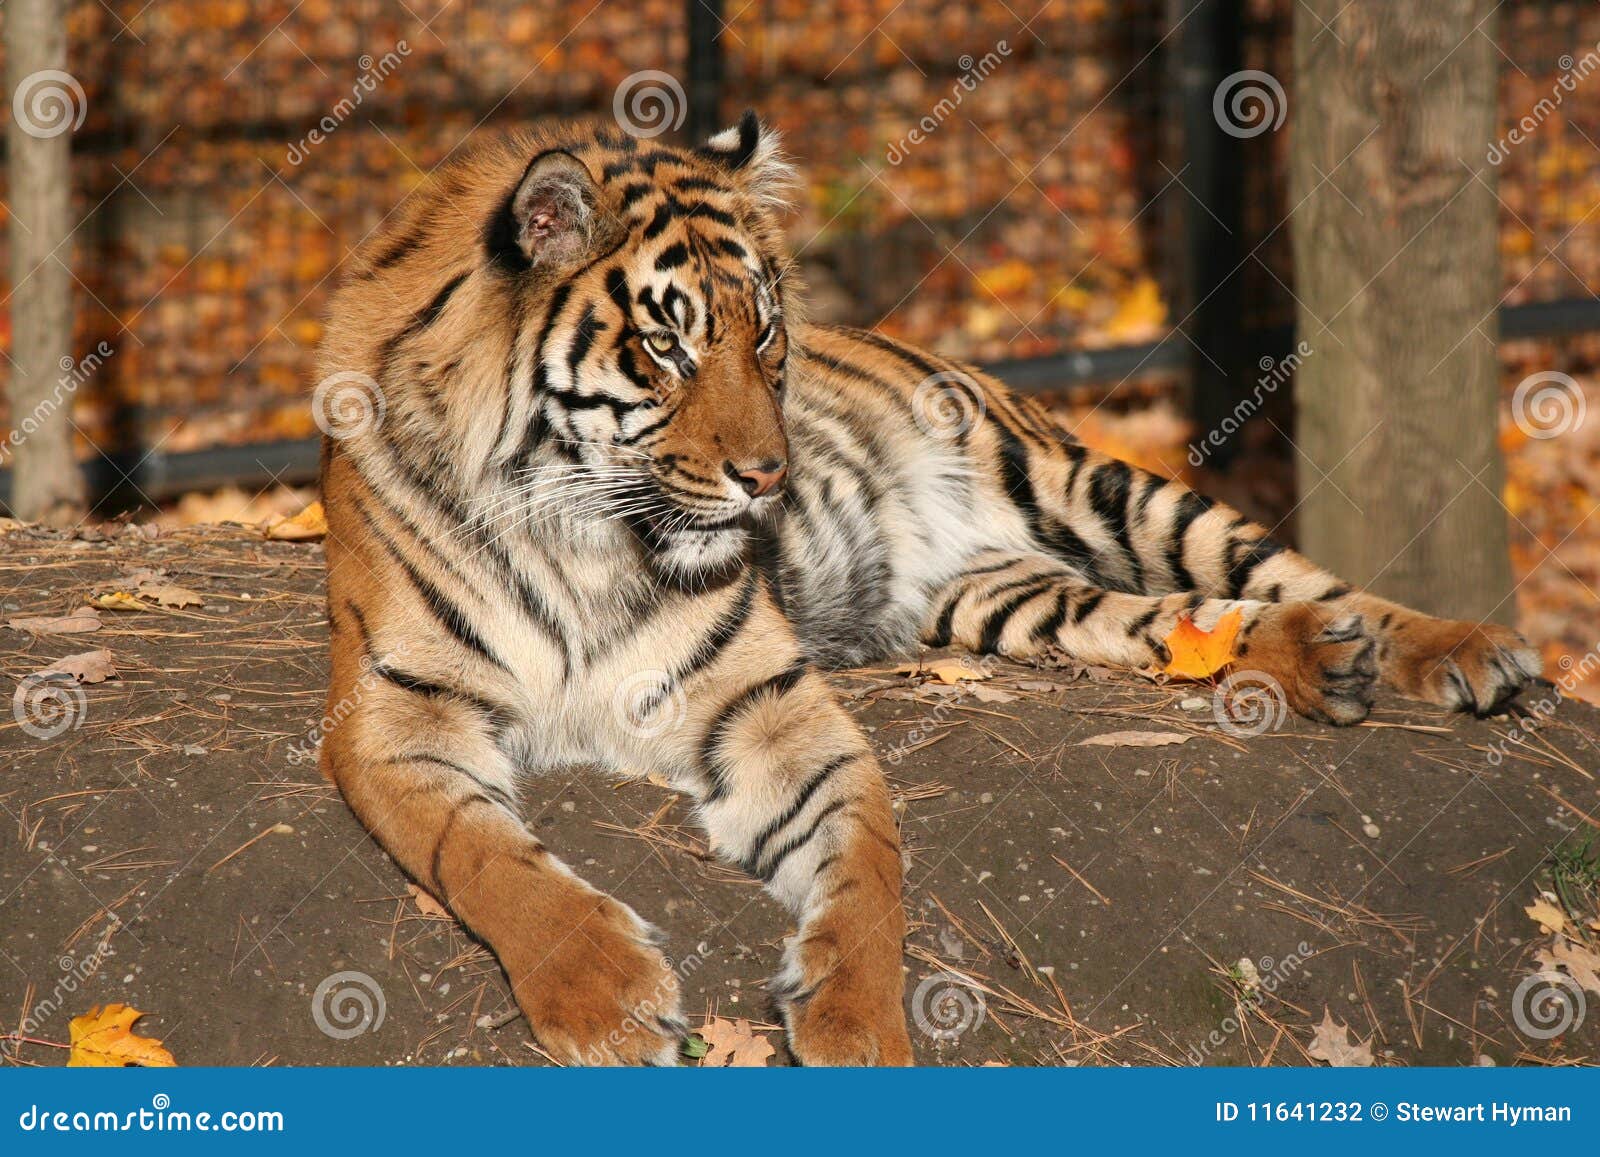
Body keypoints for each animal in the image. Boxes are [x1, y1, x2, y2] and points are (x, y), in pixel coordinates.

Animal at [316, 111, 1542, 1066]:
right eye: (666, 347)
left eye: (764, 334)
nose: (771, 477)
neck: (585, 534)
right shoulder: (390, 715)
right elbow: (486, 858)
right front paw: (608, 1003)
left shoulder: (771, 704)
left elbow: (867, 872)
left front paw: (857, 1028)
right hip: (1018, 601)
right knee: (1183, 620)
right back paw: (1324, 657)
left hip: (1099, 485)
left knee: (1297, 575)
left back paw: (1455, 649)